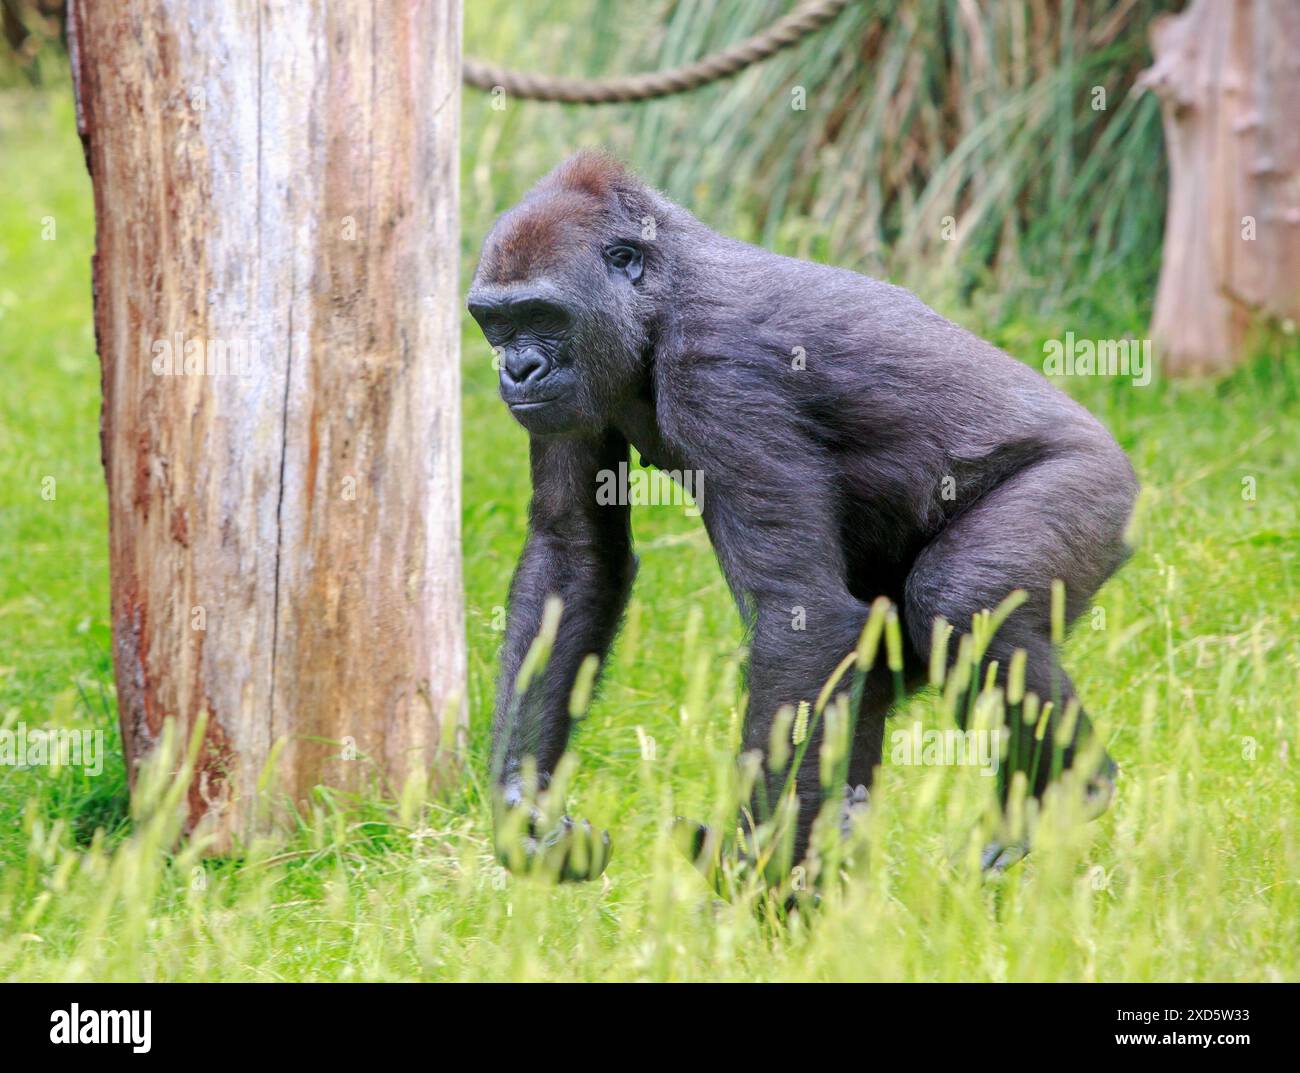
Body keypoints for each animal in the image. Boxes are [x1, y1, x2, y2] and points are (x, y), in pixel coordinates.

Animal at [467, 151, 1136, 883]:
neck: (659, 299)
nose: (519, 369)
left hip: (1092, 489)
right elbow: (574, 552)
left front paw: (752, 873)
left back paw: (1062, 795)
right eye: (497, 324)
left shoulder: (720, 371)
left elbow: (801, 614)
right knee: (877, 664)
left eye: (544, 315)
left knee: (963, 601)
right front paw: (521, 808)